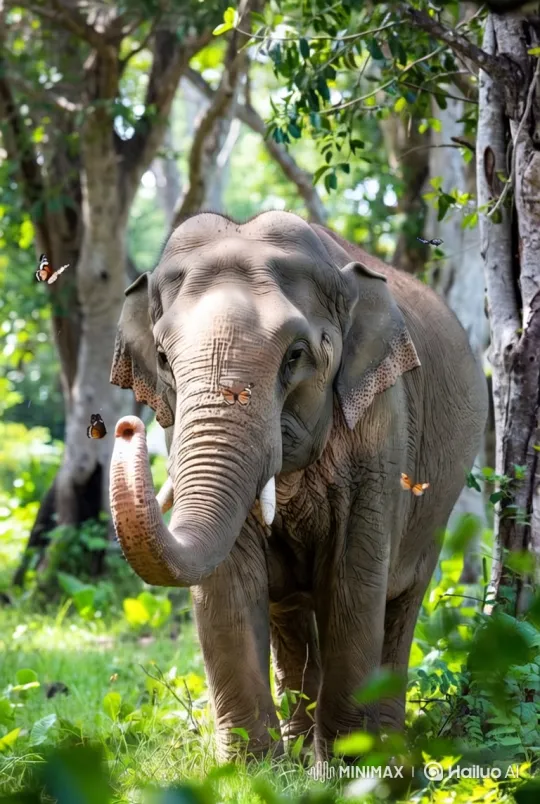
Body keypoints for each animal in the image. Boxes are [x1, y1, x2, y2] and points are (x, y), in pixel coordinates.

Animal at [109, 211, 488, 761]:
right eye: (161, 357)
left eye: (296, 355)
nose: (124, 427)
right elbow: (228, 583)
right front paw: (252, 769)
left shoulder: (382, 423)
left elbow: (353, 584)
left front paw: (348, 767)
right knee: (288, 609)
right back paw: (300, 746)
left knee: (401, 602)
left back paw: (388, 749)